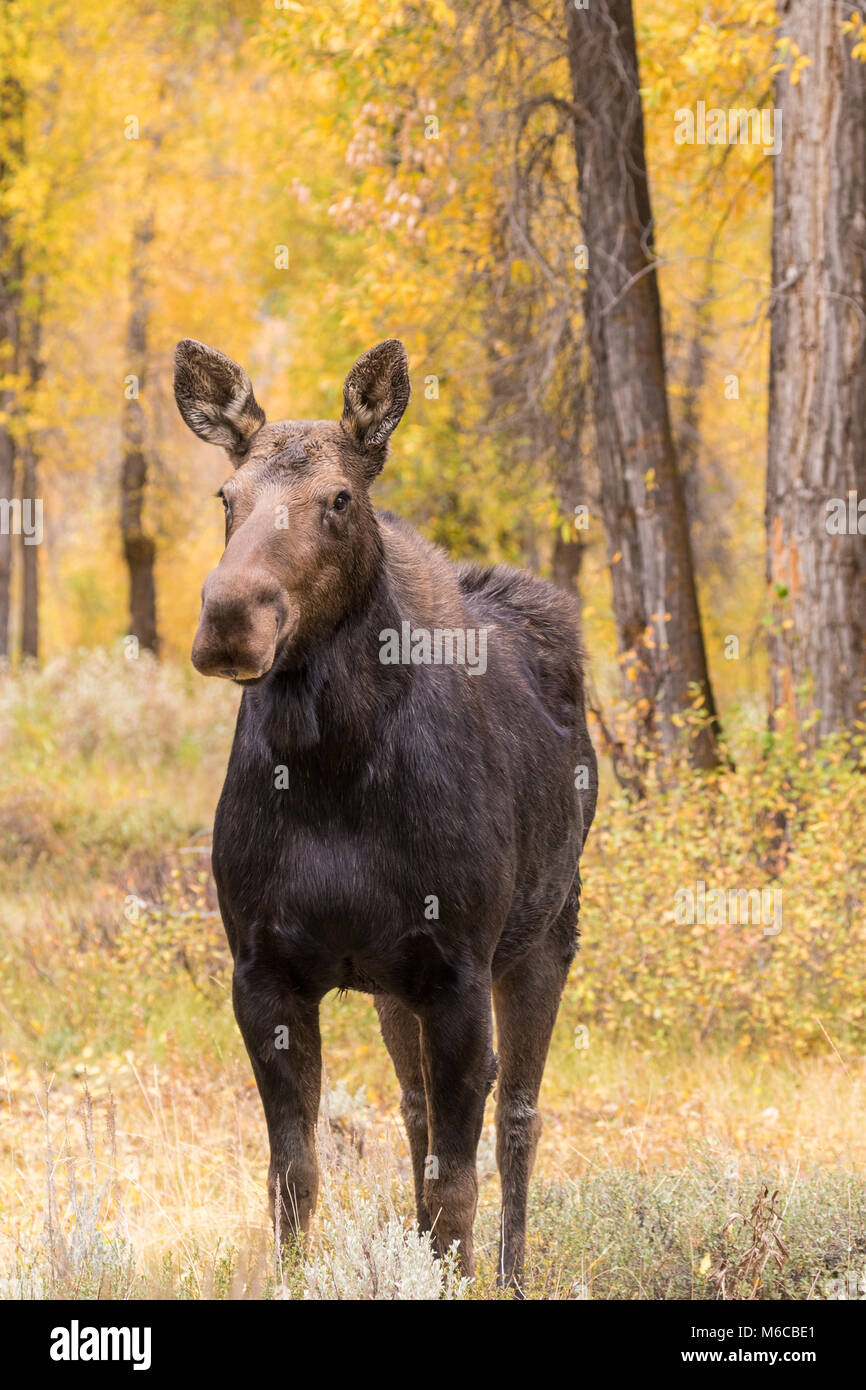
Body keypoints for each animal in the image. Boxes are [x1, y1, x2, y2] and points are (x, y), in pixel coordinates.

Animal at [174, 336, 597, 1292]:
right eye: (226, 497)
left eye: (338, 498)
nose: (229, 618)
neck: (330, 775)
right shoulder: (264, 971)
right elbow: (293, 1178)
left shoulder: (458, 970)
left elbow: (456, 1190)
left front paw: (461, 1275)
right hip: (393, 988)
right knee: (412, 1112)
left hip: (547, 935)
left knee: (521, 1122)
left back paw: (513, 1274)